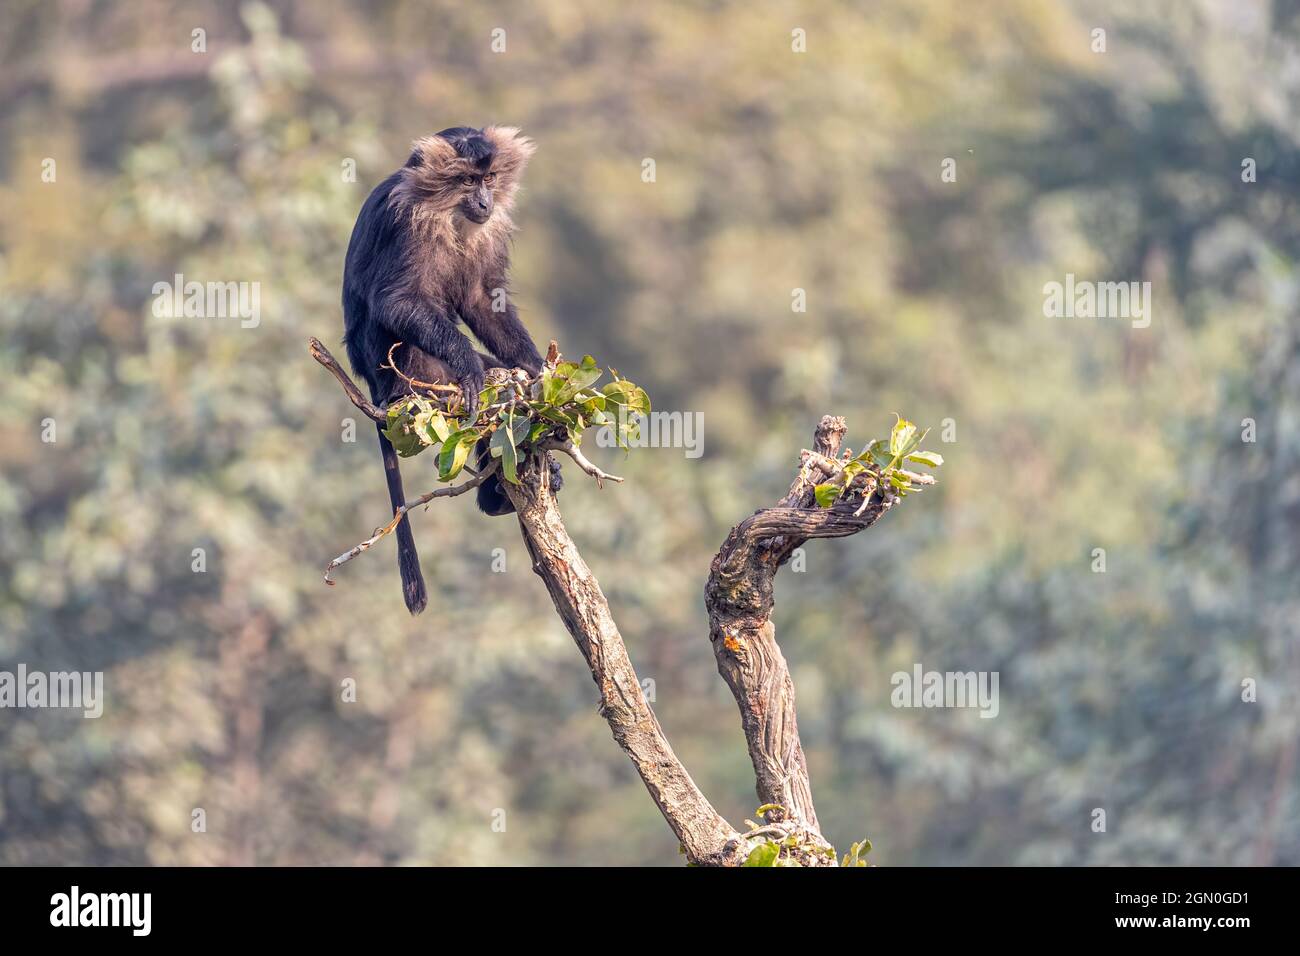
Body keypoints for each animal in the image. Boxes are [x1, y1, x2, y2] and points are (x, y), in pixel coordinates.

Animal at [341, 125, 555, 615]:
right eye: (466, 180)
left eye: (489, 177)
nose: (485, 201)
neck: (448, 212)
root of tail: (376, 388)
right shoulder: (407, 218)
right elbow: (396, 300)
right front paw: (469, 366)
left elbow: (482, 300)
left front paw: (539, 372)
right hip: (413, 374)